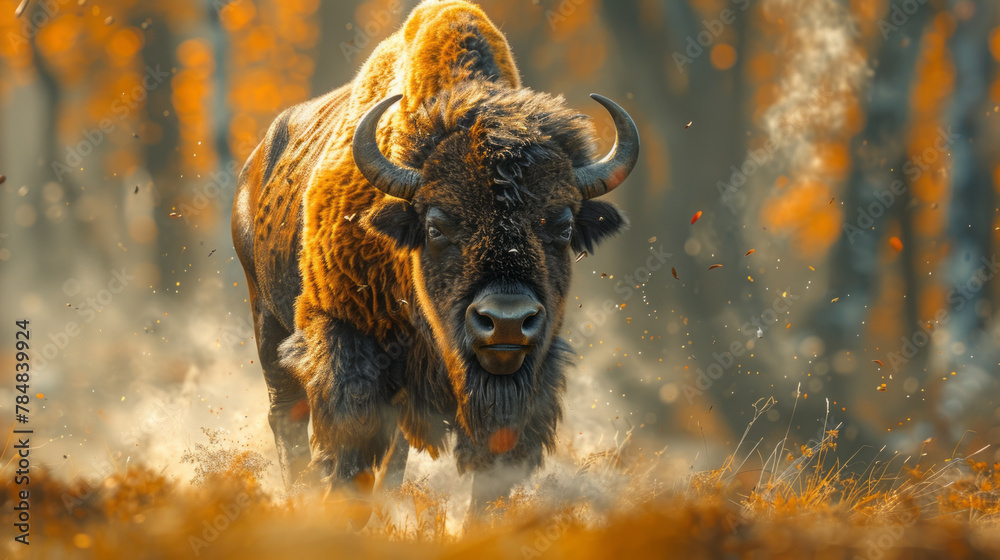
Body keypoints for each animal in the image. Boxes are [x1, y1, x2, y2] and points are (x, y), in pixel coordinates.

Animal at [232, 0, 639, 522]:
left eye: (563, 227)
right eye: (436, 226)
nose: (506, 322)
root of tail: (255, 168)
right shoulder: (344, 342)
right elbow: (349, 451)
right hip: (268, 321)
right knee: (287, 418)